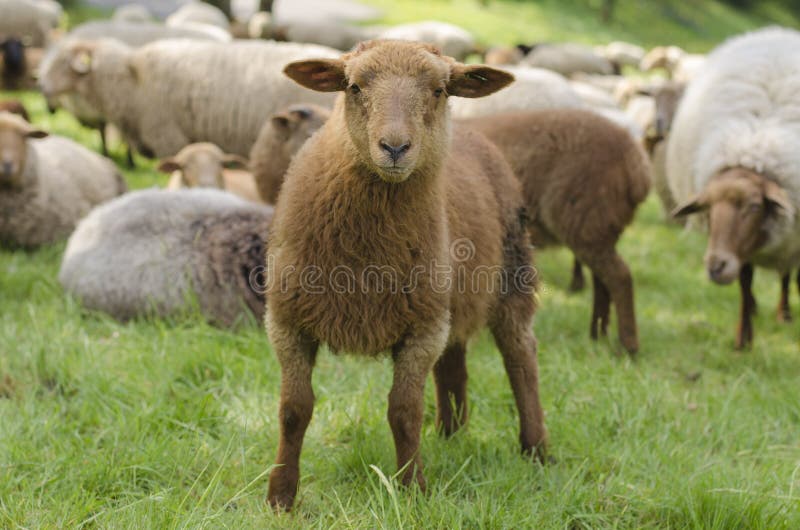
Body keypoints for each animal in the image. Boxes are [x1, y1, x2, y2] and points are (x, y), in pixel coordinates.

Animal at [266, 40, 547, 510]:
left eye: (438, 90)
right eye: (354, 86)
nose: (394, 147)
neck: (365, 255)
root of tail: (472, 133)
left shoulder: (422, 330)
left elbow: (404, 411)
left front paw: (412, 490)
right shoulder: (287, 321)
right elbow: (294, 409)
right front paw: (280, 497)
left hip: (512, 276)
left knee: (520, 357)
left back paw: (537, 450)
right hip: (448, 298)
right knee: (454, 365)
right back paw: (452, 436)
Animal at [462, 109, 650, 353]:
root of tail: (635, 163)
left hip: (586, 219)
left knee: (619, 276)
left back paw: (627, 346)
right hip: (598, 226)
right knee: (603, 279)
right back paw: (598, 335)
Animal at [668, 27, 800, 348]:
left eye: (754, 206)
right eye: (708, 208)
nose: (716, 266)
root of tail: (776, 31)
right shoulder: (741, 250)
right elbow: (745, 281)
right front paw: (743, 340)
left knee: (786, 275)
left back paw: (784, 314)